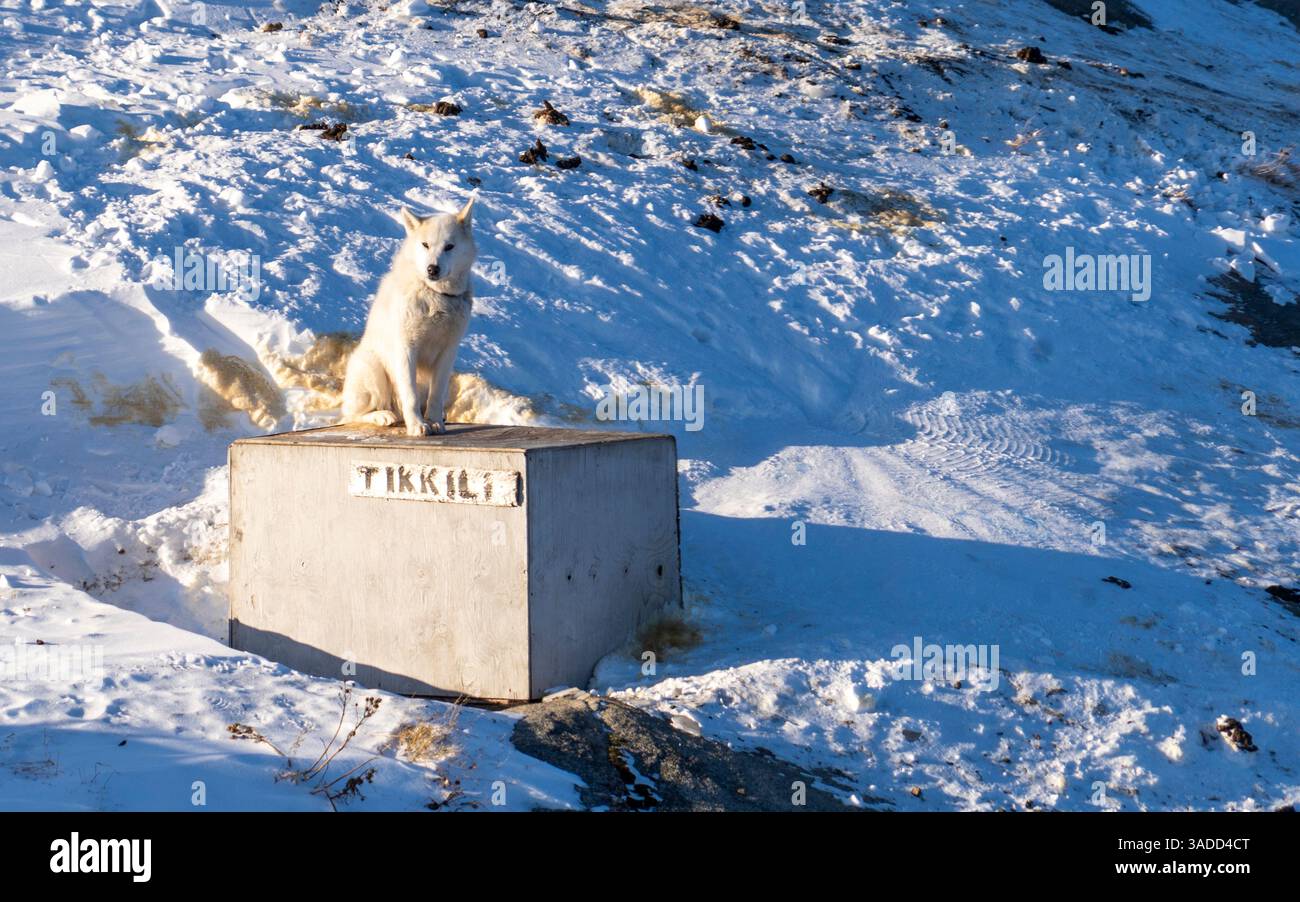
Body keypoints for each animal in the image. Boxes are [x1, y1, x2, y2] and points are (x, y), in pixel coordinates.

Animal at [340, 196, 477, 436]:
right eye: (425, 245)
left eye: (449, 246)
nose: (432, 269)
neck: (436, 295)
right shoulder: (406, 349)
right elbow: (410, 395)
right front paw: (417, 426)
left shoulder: (448, 352)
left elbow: (436, 395)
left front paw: (434, 421)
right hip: (373, 370)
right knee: (352, 415)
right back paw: (384, 415)